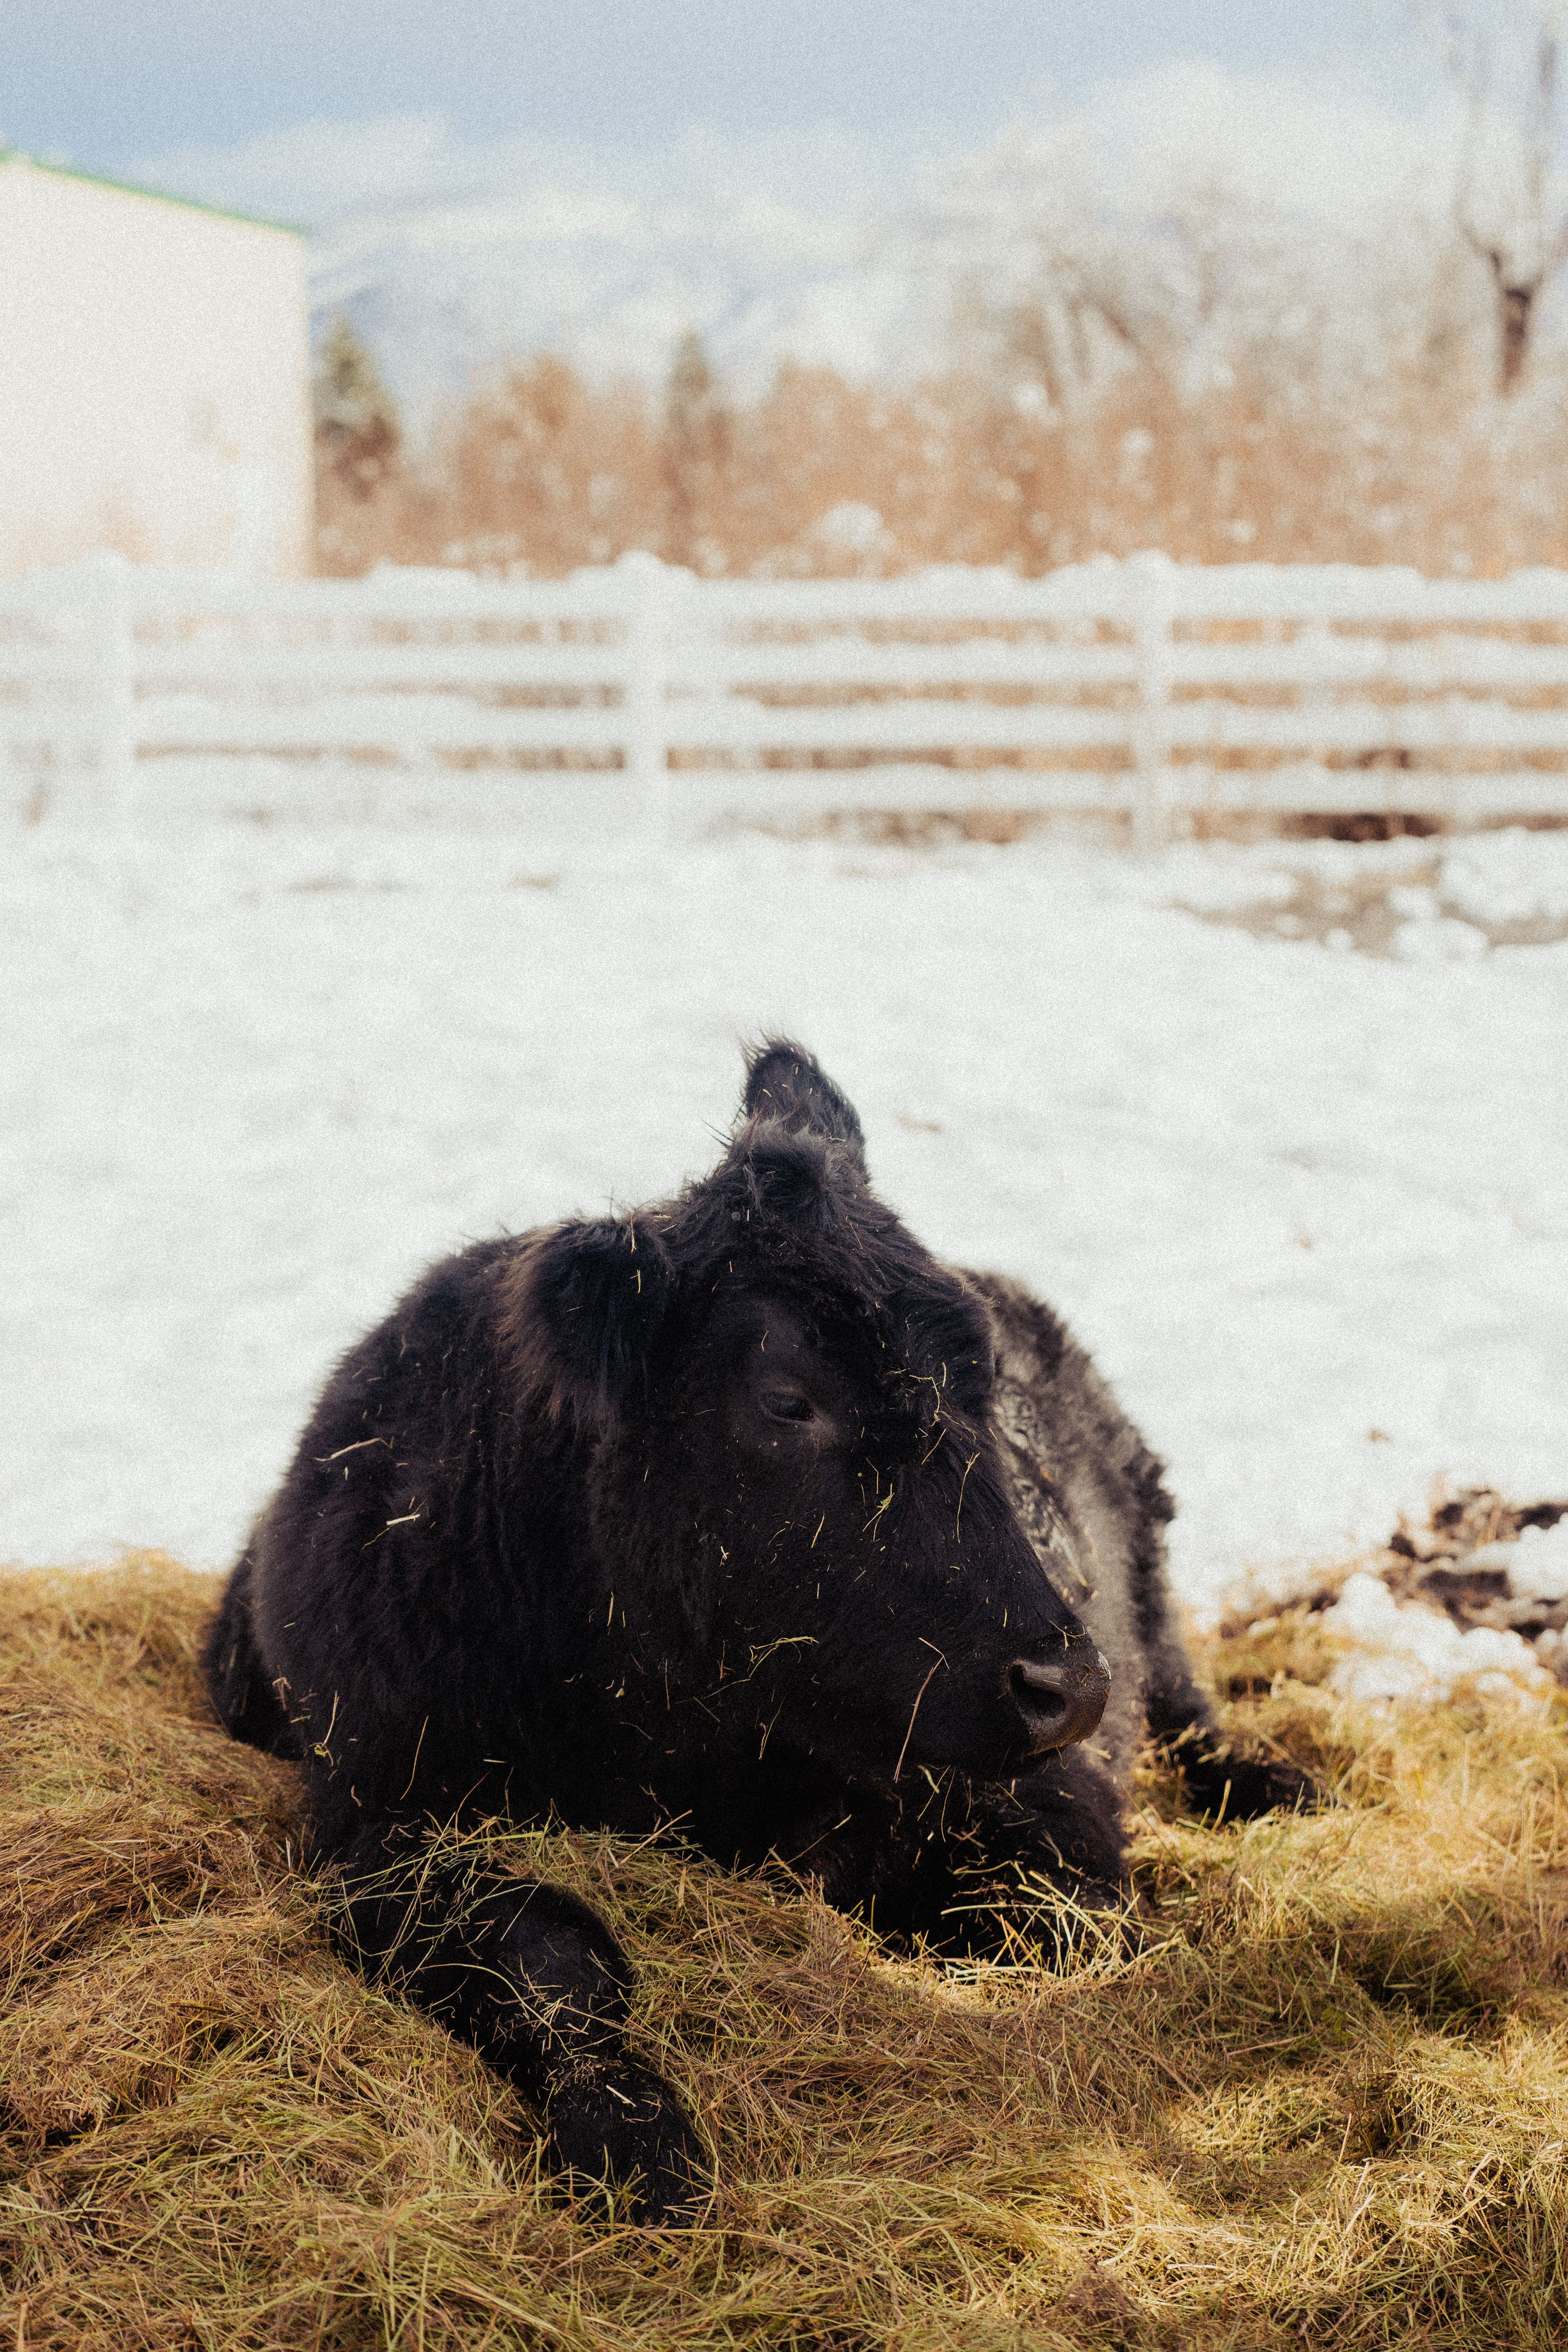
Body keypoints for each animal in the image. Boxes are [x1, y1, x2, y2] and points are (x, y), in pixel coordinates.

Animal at [203, 1040, 1309, 2222]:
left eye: (979, 1381)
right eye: (786, 1399)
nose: (1065, 1685)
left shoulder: (1033, 1791)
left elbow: (1074, 1921)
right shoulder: (369, 1827)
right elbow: (551, 1958)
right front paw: (635, 2149)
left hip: (1144, 1558)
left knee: (1182, 1687)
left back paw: (1269, 1781)